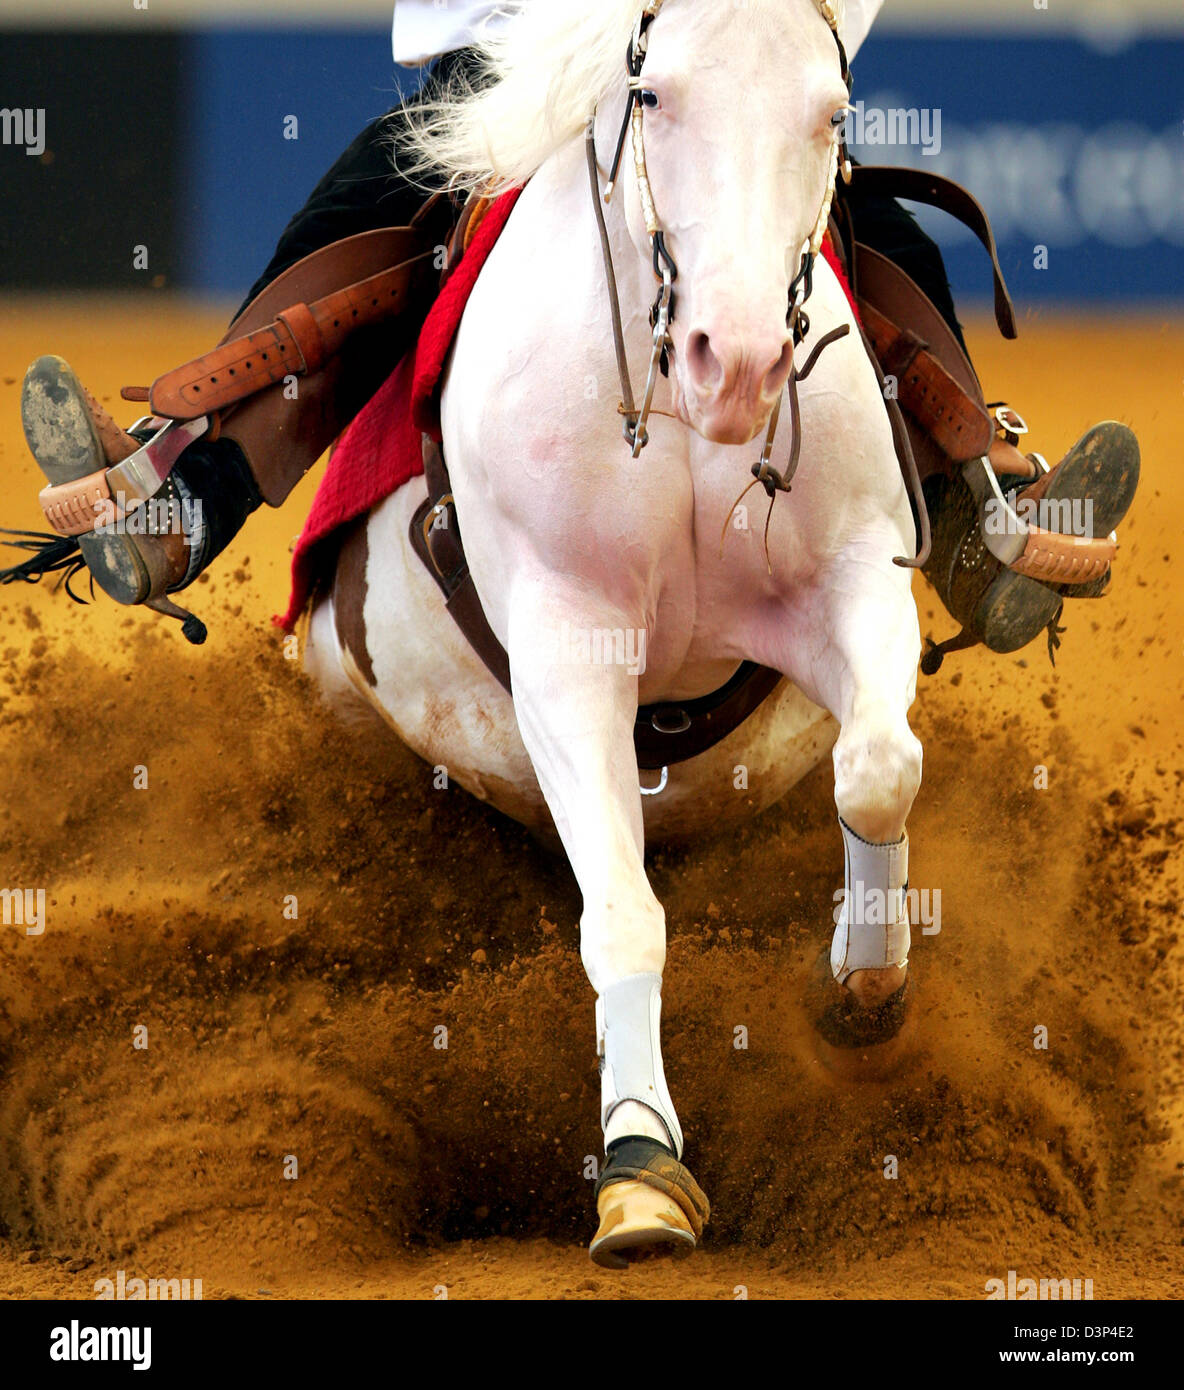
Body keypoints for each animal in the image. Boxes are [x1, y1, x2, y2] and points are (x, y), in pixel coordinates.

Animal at [303, 0, 922, 1266]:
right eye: (651, 95)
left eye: (831, 112)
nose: (739, 363)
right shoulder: (564, 647)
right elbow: (625, 921)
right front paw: (638, 1165)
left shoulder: (855, 579)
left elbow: (879, 766)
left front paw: (860, 986)